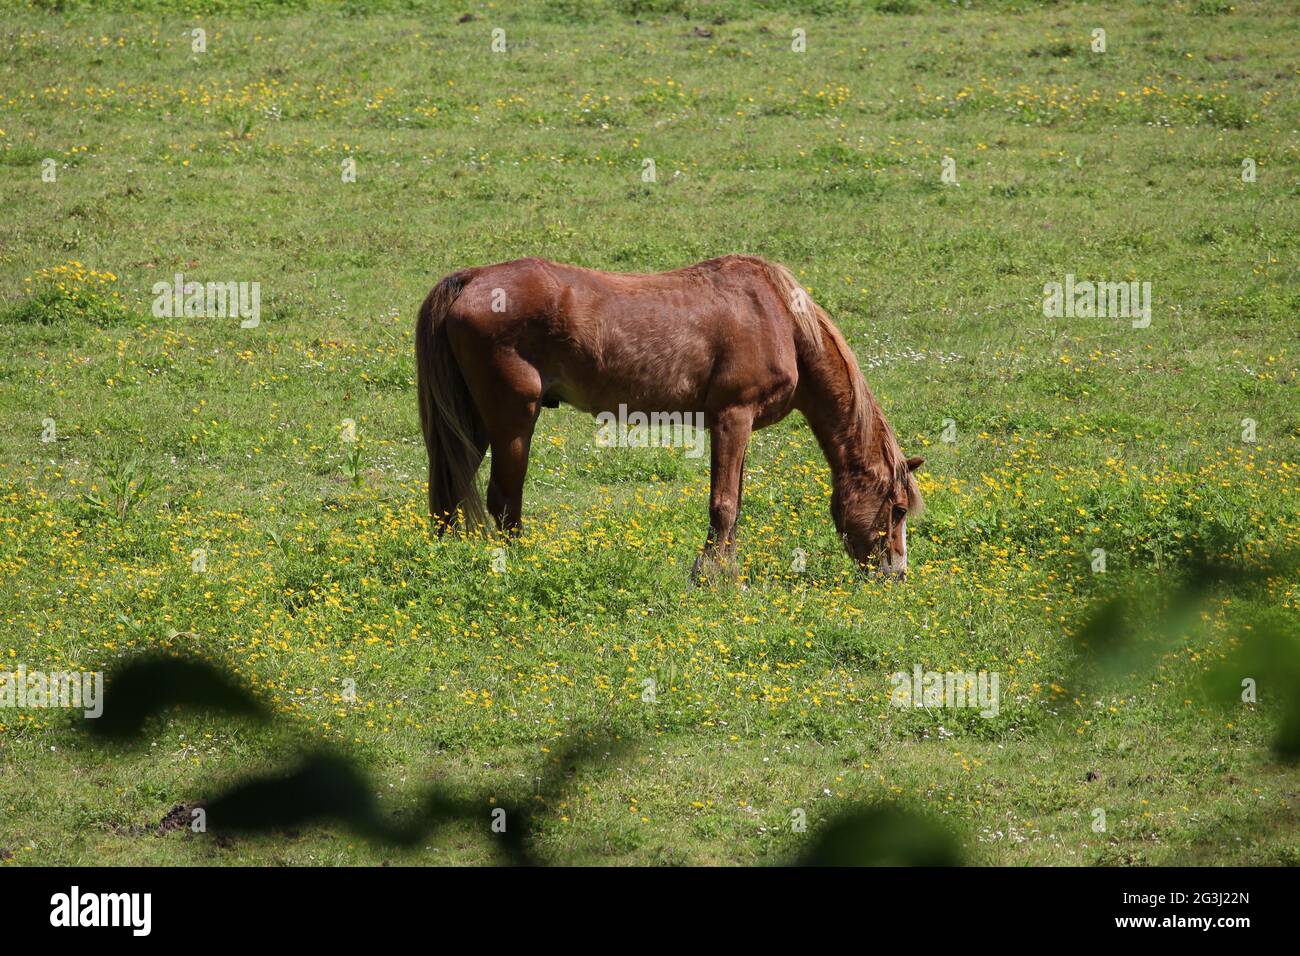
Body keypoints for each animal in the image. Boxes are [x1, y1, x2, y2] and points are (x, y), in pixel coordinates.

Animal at [415, 255, 924, 580]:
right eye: (898, 509)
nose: (896, 574)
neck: (779, 317)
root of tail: (472, 279)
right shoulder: (732, 418)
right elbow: (724, 505)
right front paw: (712, 574)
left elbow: (735, 503)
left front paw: (726, 570)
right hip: (512, 418)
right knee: (503, 500)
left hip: (473, 421)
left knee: (450, 490)